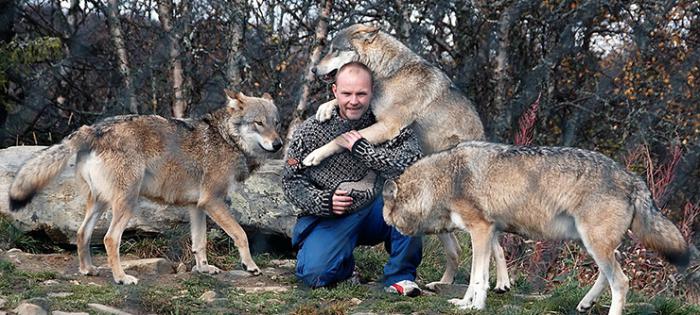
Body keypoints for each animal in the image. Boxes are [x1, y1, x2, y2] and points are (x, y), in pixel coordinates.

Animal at [8, 90, 282, 286]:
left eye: (276, 123)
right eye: (258, 123)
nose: (278, 144)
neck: (227, 139)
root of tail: (93, 128)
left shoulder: (198, 206)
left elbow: (199, 242)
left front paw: (203, 268)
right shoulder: (213, 201)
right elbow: (241, 234)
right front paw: (250, 266)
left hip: (100, 202)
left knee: (82, 233)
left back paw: (88, 270)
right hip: (127, 202)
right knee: (109, 238)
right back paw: (121, 278)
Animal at [304, 23, 512, 292]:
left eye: (334, 49)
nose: (313, 69)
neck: (387, 74)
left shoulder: (387, 126)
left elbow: (340, 139)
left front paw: (314, 155)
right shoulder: (376, 120)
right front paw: (324, 109)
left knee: (497, 247)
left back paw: (502, 284)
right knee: (455, 251)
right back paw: (441, 283)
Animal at [380, 141, 692, 315]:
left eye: (389, 221)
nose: (394, 237)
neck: (442, 180)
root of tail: (633, 179)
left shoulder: (481, 230)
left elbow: (478, 279)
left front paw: (475, 307)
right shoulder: (489, 233)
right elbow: (478, 277)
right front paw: (465, 303)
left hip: (594, 243)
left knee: (621, 282)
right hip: (590, 243)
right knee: (610, 273)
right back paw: (585, 304)